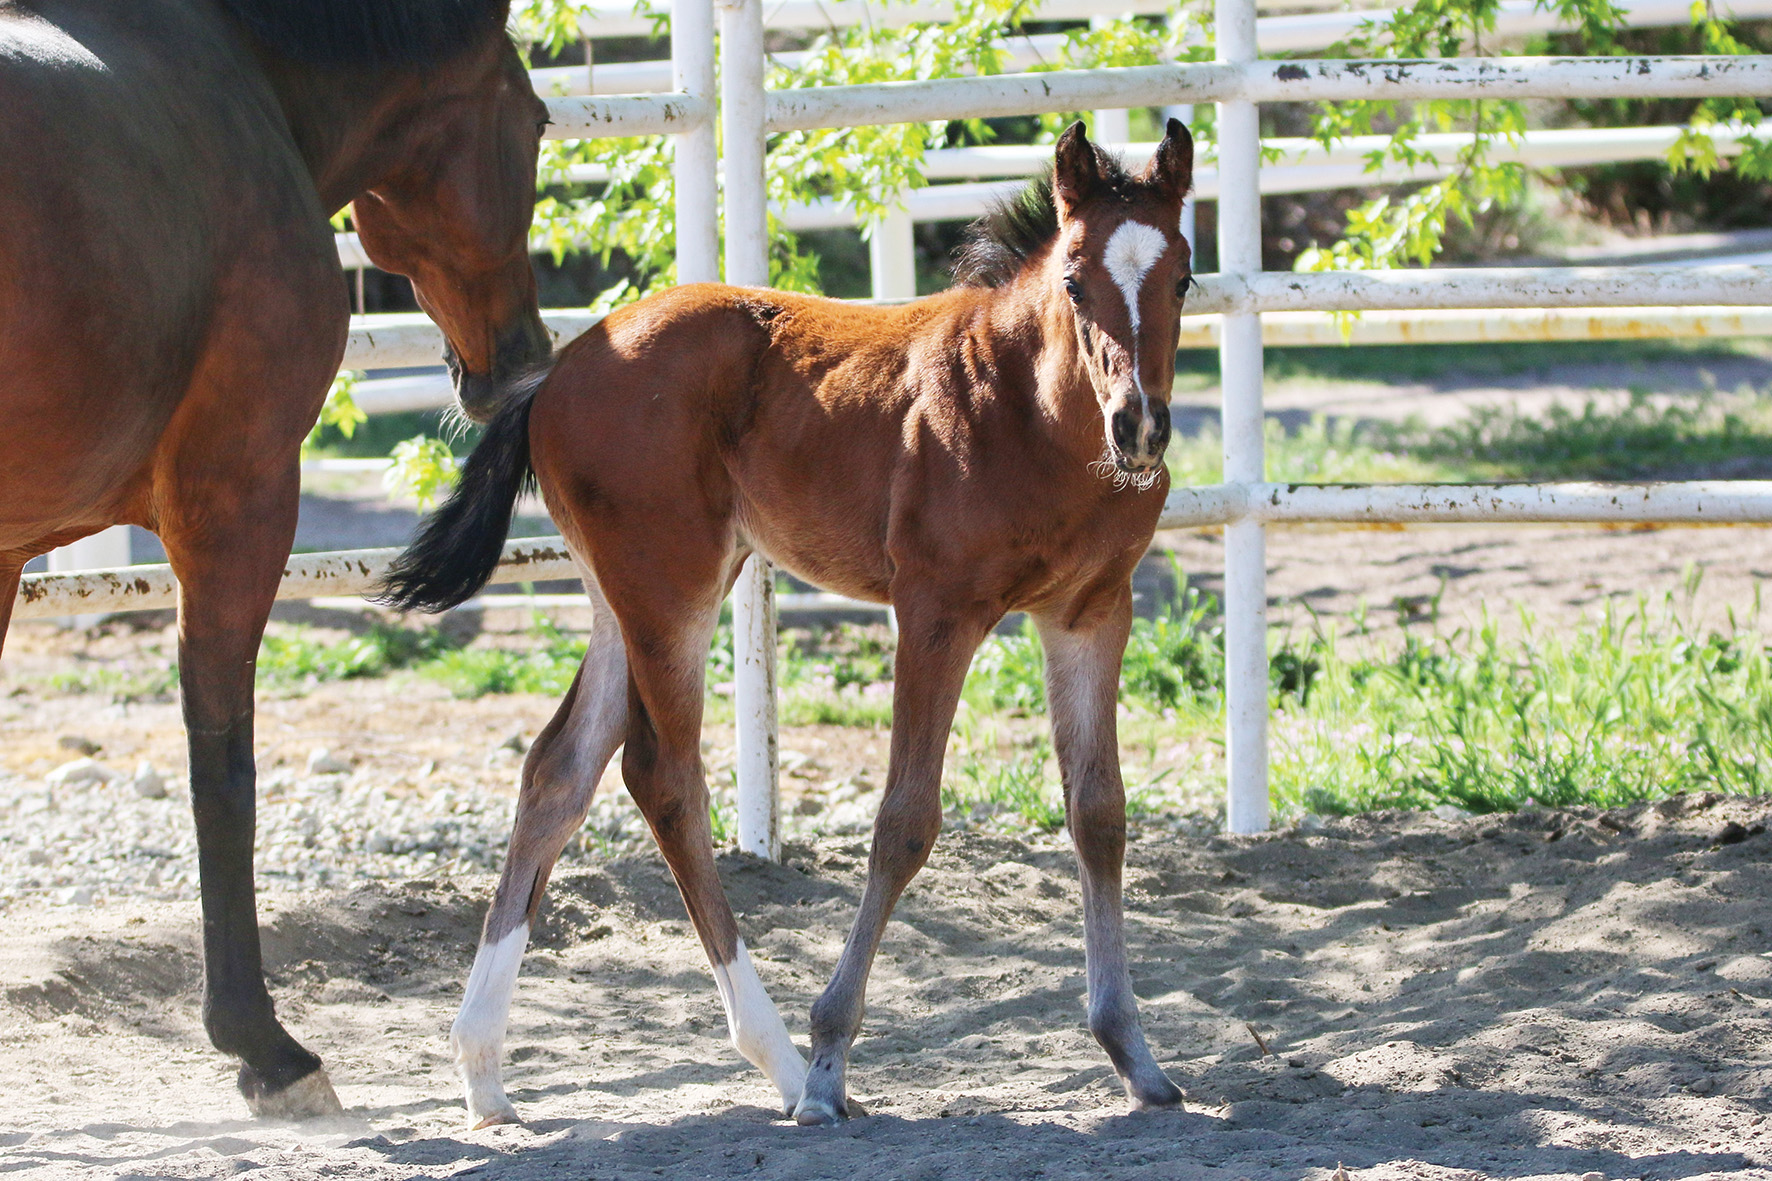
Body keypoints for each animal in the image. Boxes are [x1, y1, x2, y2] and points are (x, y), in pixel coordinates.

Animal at [380, 118, 1195, 1126]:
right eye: (1077, 281)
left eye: (1184, 277)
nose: (1140, 427)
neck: (1028, 410)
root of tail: (559, 371)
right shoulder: (936, 611)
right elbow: (905, 820)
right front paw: (832, 1056)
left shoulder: (1092, 612)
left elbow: (1100, 813)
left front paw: (1134, 1052)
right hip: (673, 592)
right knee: (663, 776)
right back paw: (779, 1061)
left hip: (624, 597)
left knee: (559, 771)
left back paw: (484, 1069)